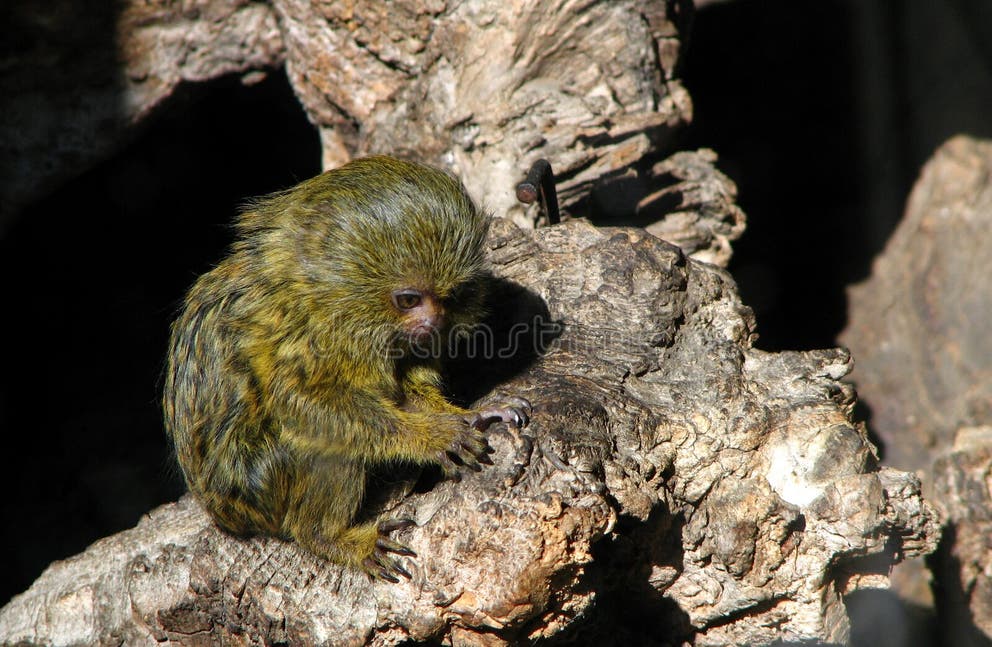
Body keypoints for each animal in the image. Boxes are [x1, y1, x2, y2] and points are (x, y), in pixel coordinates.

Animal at [163, 156, 531, 582]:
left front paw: (472, 415)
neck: (323, 294)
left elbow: (401, 391)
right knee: (330, 450)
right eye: (409, 300)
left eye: (449, 298)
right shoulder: (301, 331)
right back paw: (330, 537)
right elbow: (298, 402)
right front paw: (432, 437)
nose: (433, 323)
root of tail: (222, 514)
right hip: (258, 484)